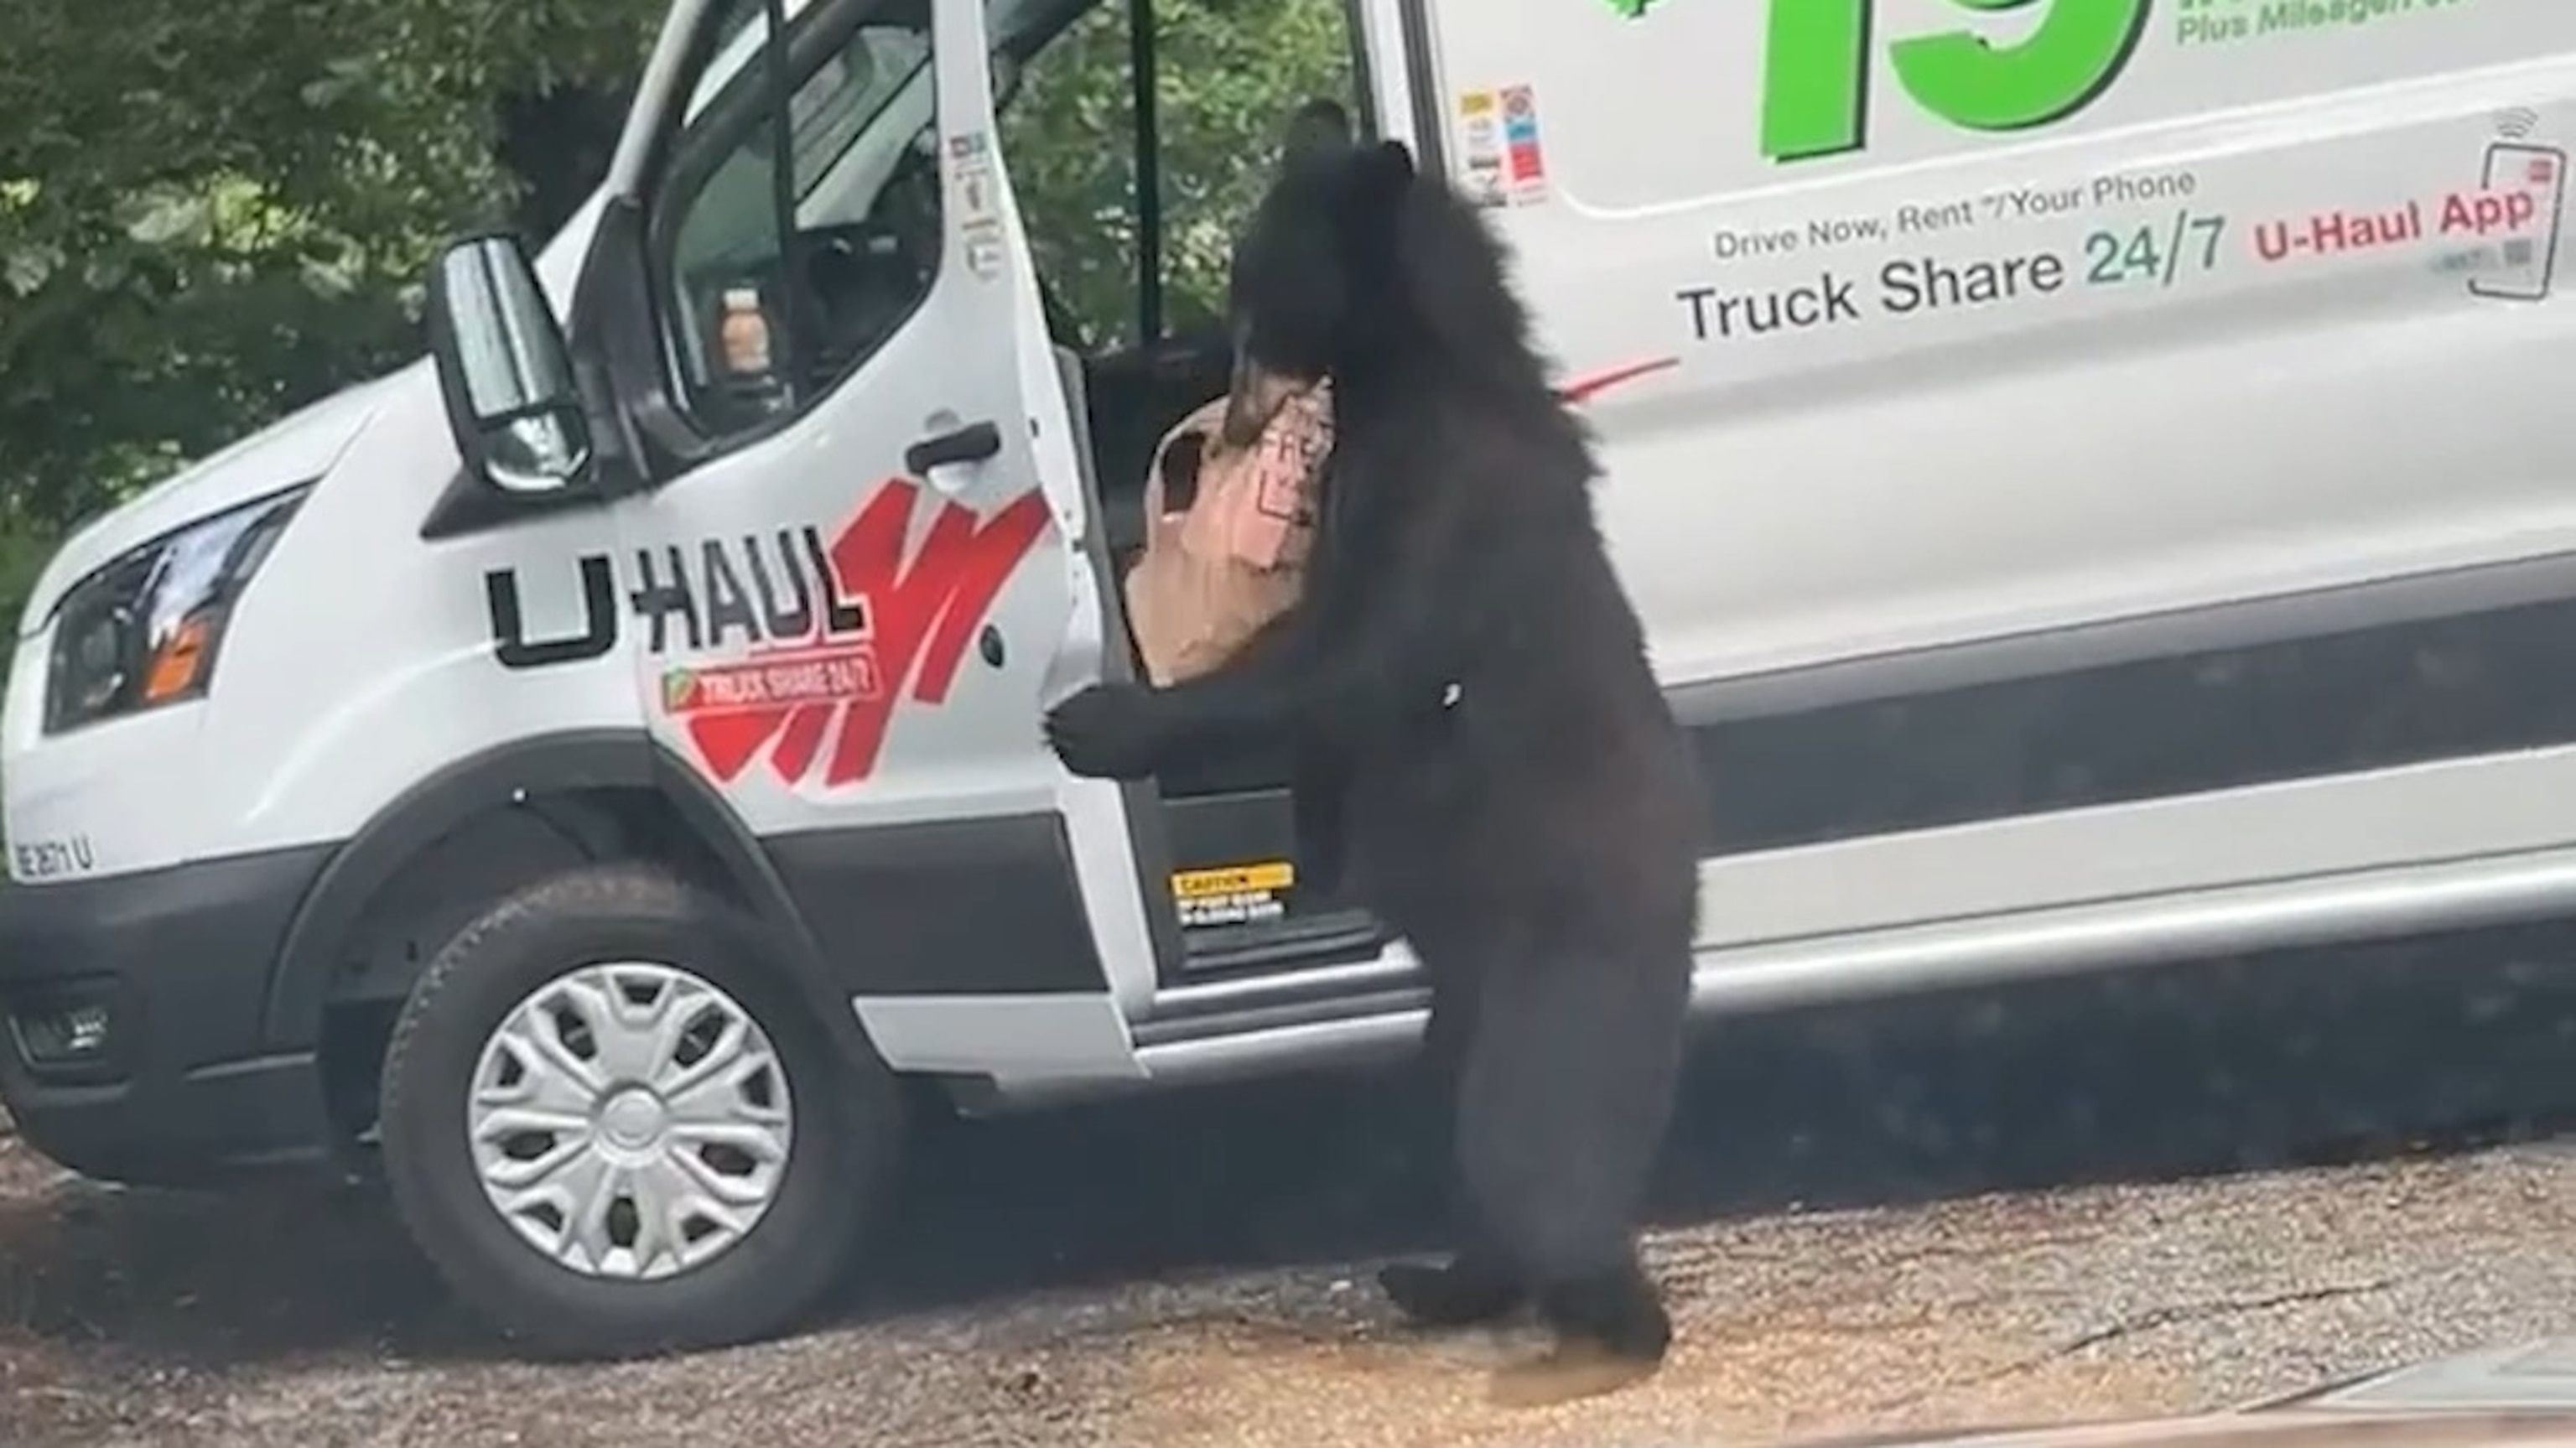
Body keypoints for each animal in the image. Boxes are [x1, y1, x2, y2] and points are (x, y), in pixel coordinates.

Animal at [1043, 100, 1702, 1407]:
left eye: (1258, 291)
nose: (1238, 405)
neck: (1421, 375)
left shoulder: (1448, 494)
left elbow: (1357, 660)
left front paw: (1098, 720)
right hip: (1467, 998)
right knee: (1468, 1140)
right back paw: (1440, 1278)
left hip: (1560, 979)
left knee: (1531, 1147)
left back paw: (1590, 1337)